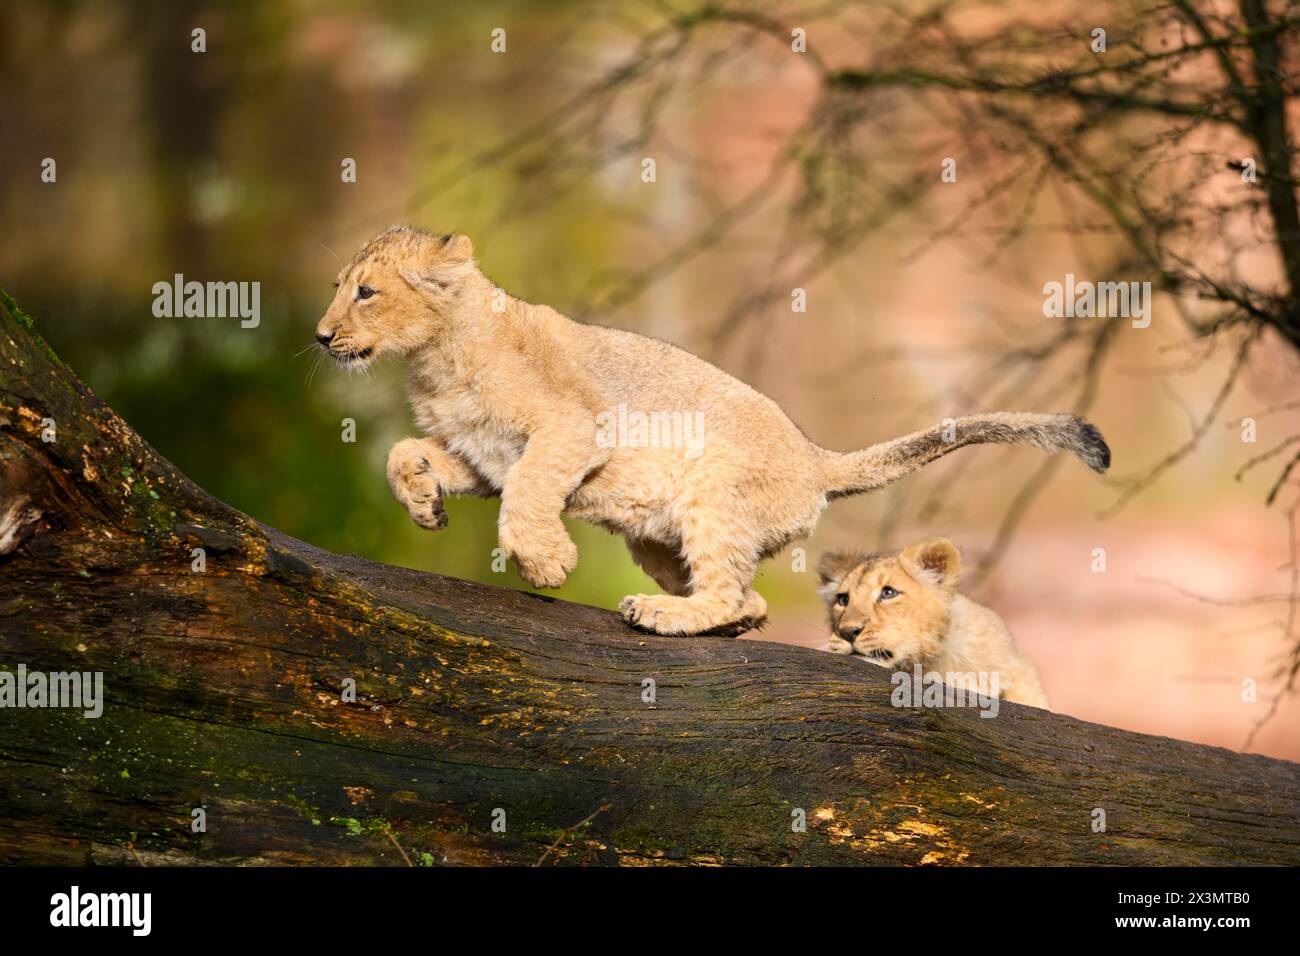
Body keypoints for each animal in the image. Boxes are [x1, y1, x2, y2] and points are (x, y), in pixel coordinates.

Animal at [316, 225, 1110, 637]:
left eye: (365, 291)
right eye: (338, 287)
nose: (321, 336)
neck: (433, 358)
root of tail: (816, 458)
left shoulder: (574, 428)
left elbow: (531, 492)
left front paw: (545, 564)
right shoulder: (482, 458)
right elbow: (406, 451)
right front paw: (424, 506)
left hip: (714, 493)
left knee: (728, 589)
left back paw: (663, 615)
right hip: (656, 538)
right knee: (748, 600)